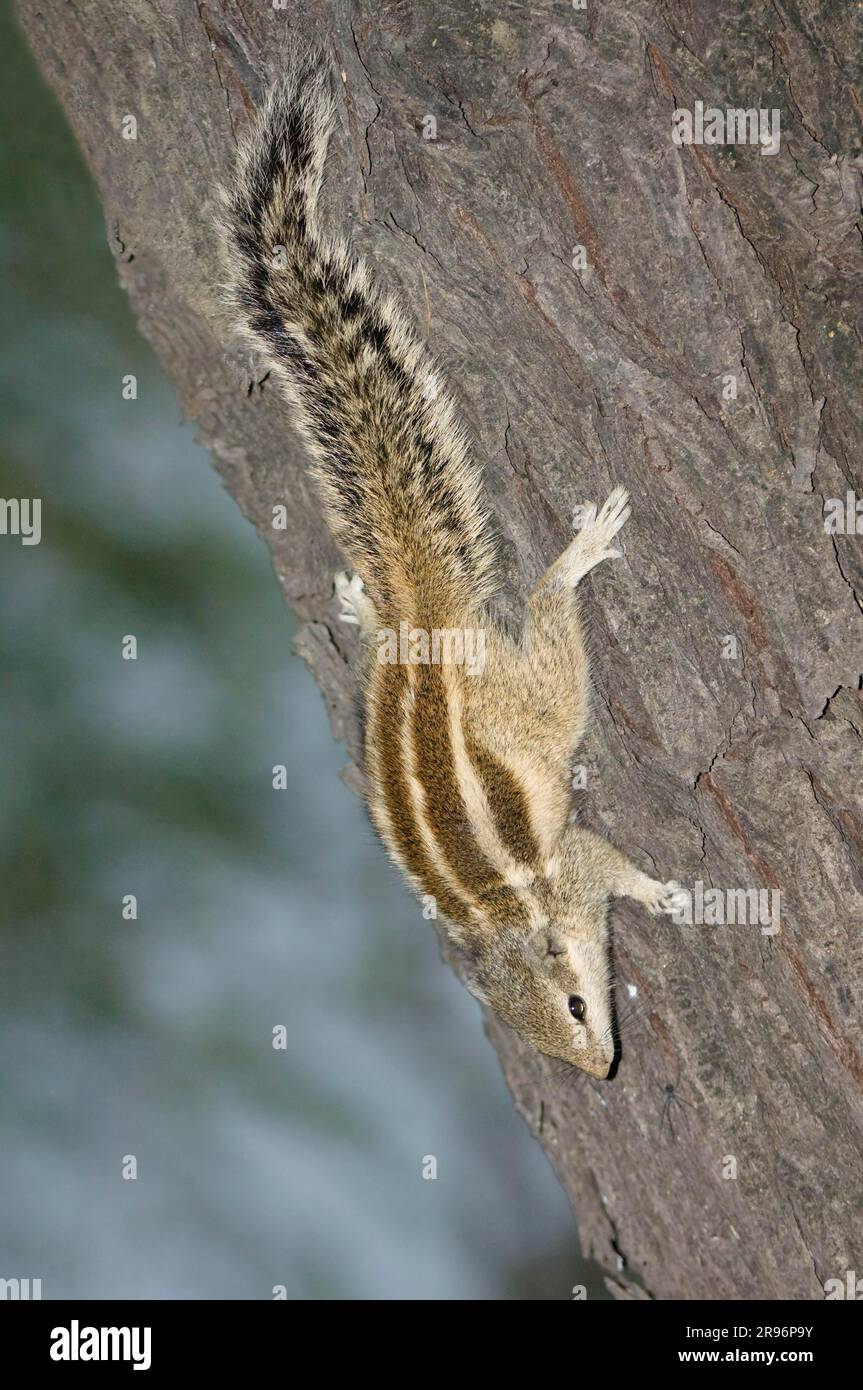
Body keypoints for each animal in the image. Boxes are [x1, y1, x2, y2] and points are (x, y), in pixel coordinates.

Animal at [221, 49, 687, 1079]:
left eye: (577, 1007)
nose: (601, 1071)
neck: (505, 918)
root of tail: (422, 618)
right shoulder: (563, 874)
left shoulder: (569, 870)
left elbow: (609, 866)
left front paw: (662, 894)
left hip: (525, 698)